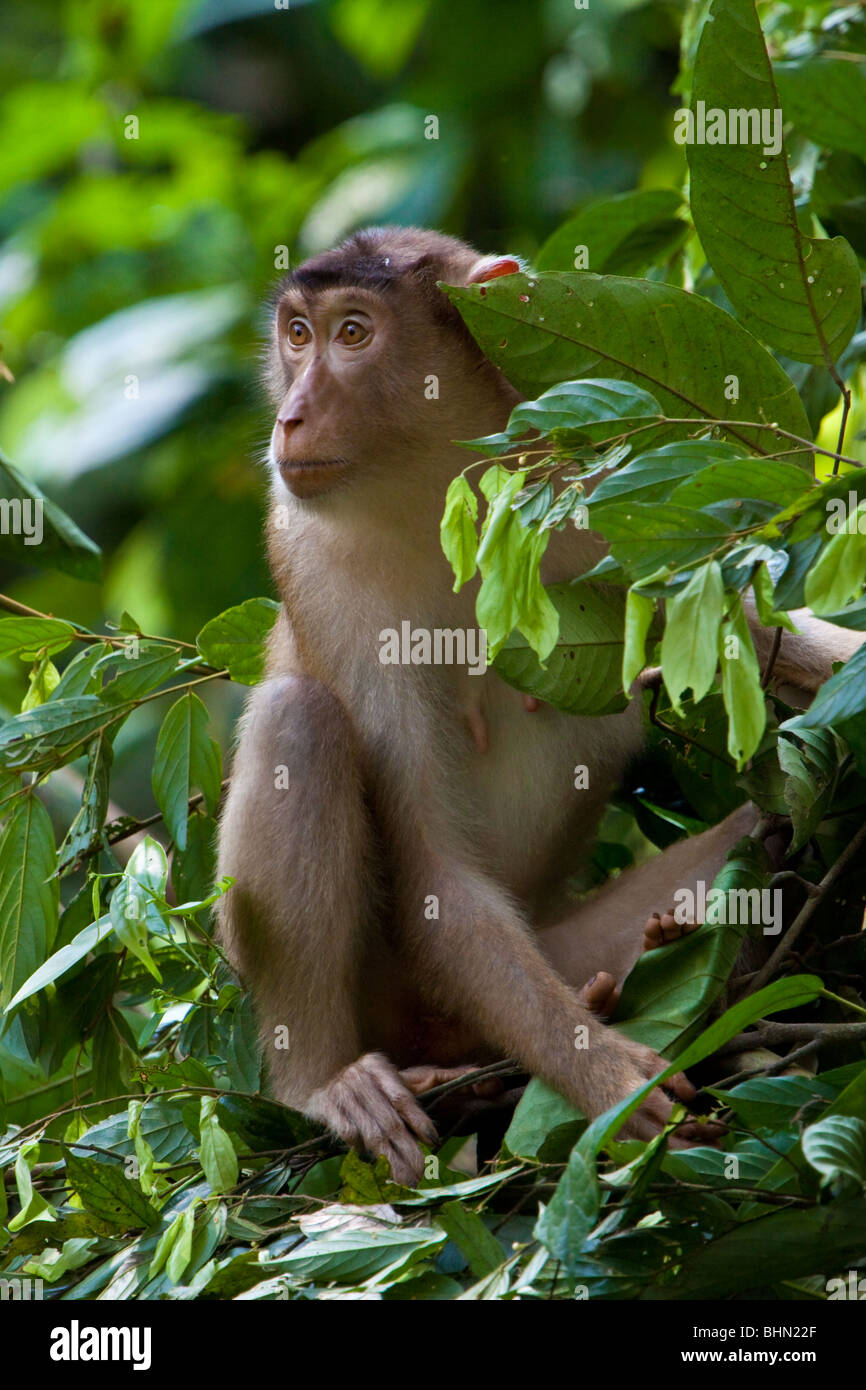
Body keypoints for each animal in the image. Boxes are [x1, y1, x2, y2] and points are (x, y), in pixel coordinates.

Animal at [216, 225, 861, 1184]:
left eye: (351, 334)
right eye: (297, 335)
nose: (289, 416)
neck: (437, 482)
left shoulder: (596, 498)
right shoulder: (315, 561)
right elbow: (435, 874)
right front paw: (607, 1082)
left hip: (556, 950)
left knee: (751, 848)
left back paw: (659, 945)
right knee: (302, 718)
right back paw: (327, 1079)